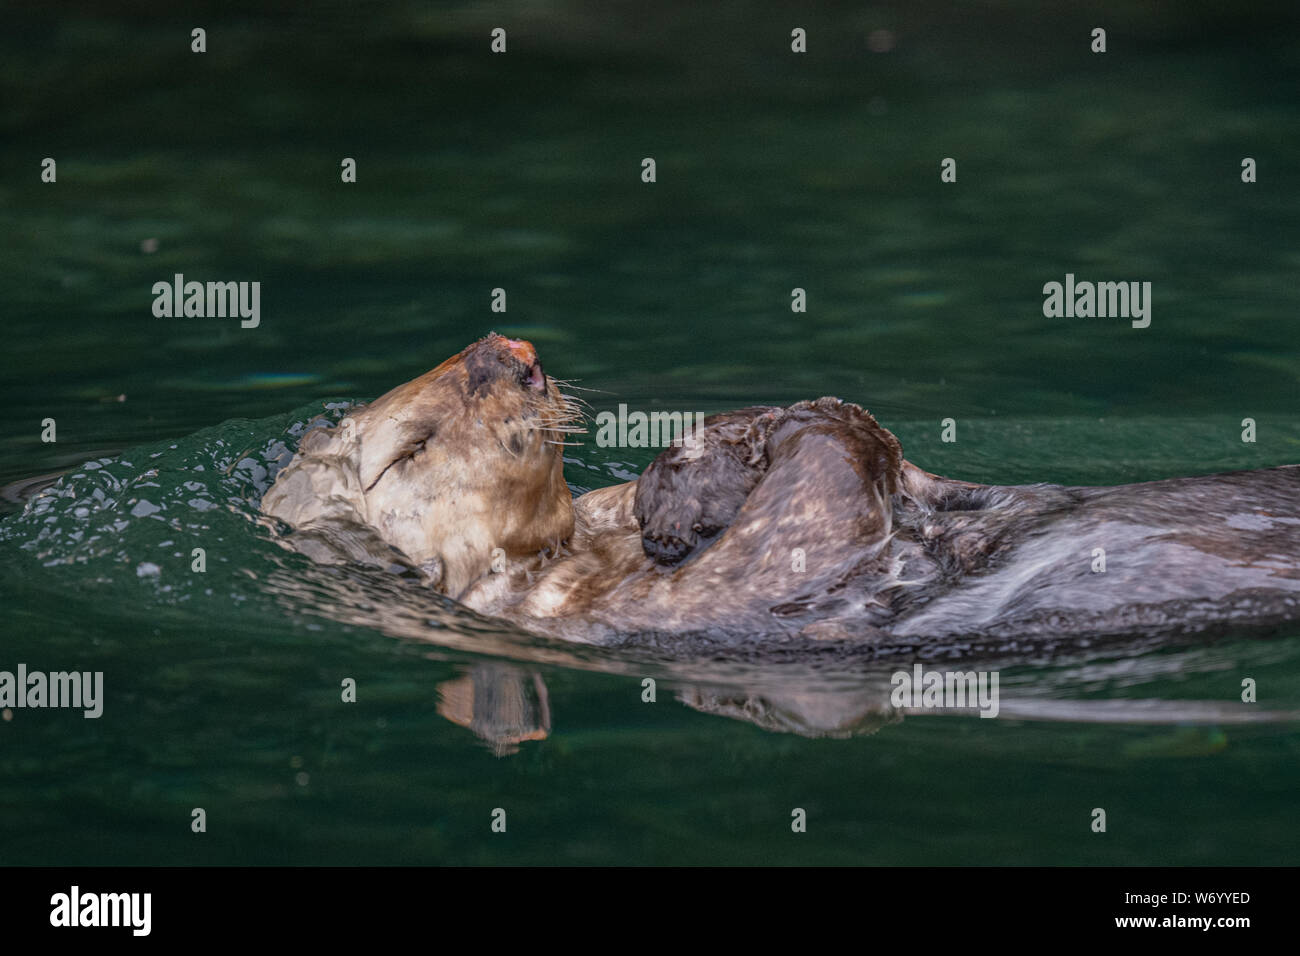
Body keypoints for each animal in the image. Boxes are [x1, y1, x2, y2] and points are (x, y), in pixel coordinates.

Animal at [261, 334, 1300, 645]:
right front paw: (691, 482)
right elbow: (830, 474)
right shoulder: (731, 595)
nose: (513, 352)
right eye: (412, 447)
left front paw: (699, 454)